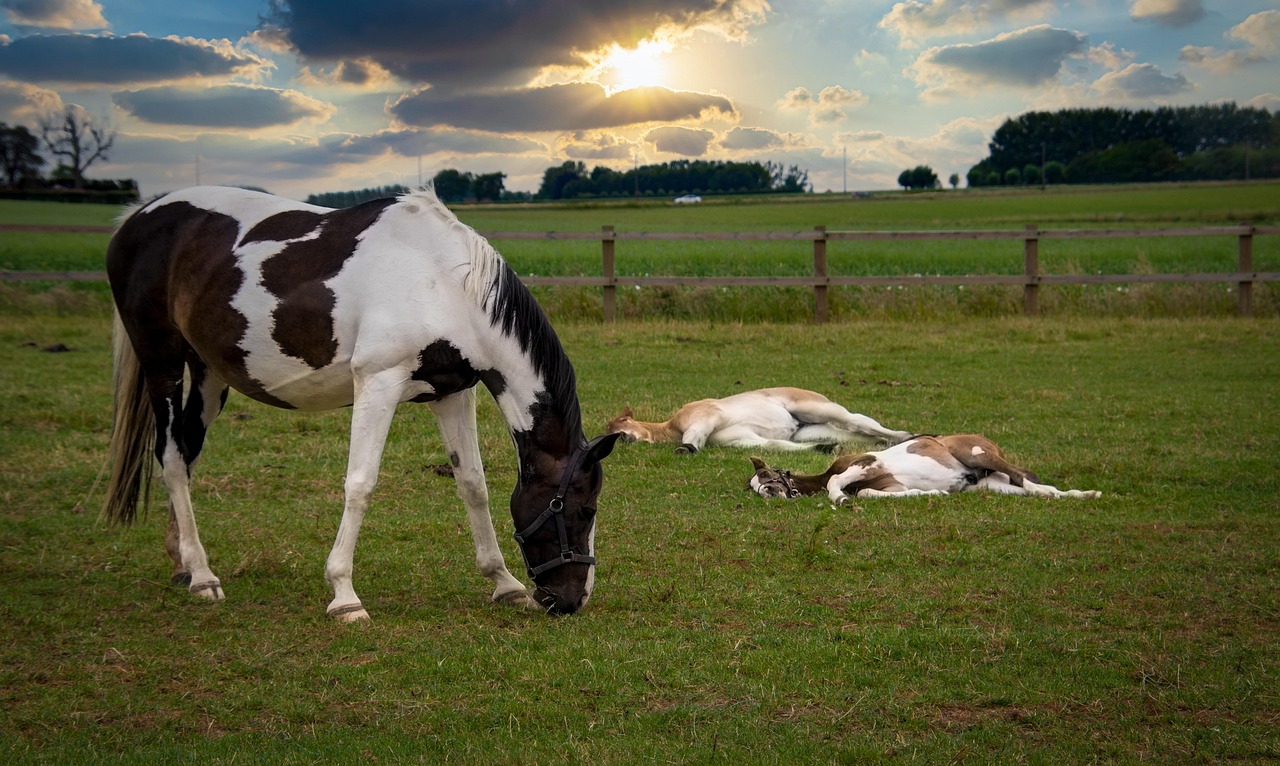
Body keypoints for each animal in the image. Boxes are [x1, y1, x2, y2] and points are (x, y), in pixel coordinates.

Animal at [103, 185, 621, 619]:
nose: (571, 601)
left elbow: (473, 484)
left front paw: (504, 583)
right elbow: (361, 484)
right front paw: (344, 595)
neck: (442, 282)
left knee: (187, 453)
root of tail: (137, 217)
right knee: (171, 458)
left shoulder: (452, 393)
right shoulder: (378, 383)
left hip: (209, 374)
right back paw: (204, 577)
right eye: (584, 510)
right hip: (163, 363)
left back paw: (184, 565)